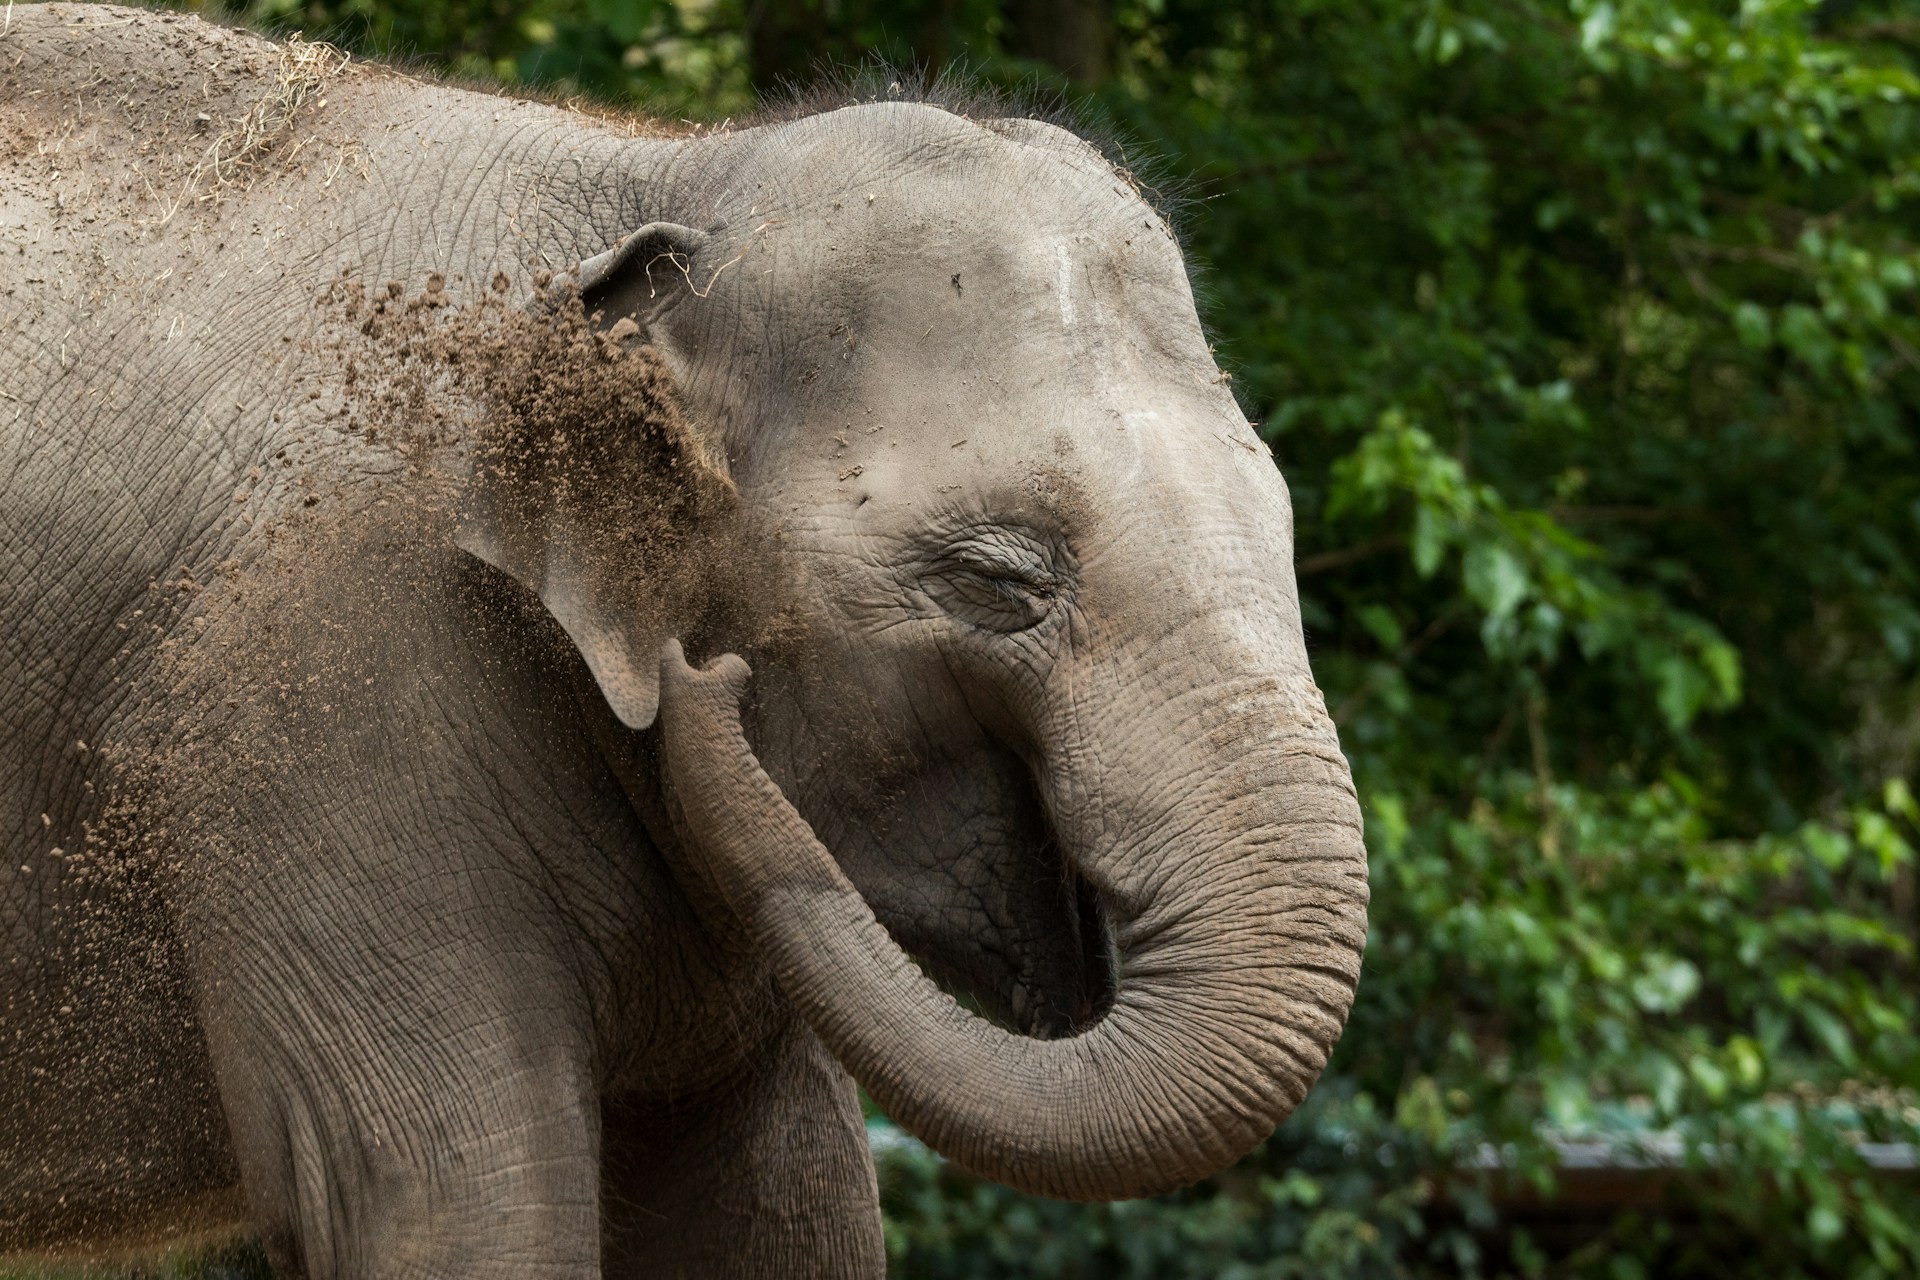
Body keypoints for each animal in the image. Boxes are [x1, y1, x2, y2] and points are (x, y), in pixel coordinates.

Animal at [0, 4, 1369, 1276]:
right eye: (998, 580)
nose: (703, 678)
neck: (666, 176)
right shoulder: (324, 684)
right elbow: (452, 1210)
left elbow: (781, 1204)